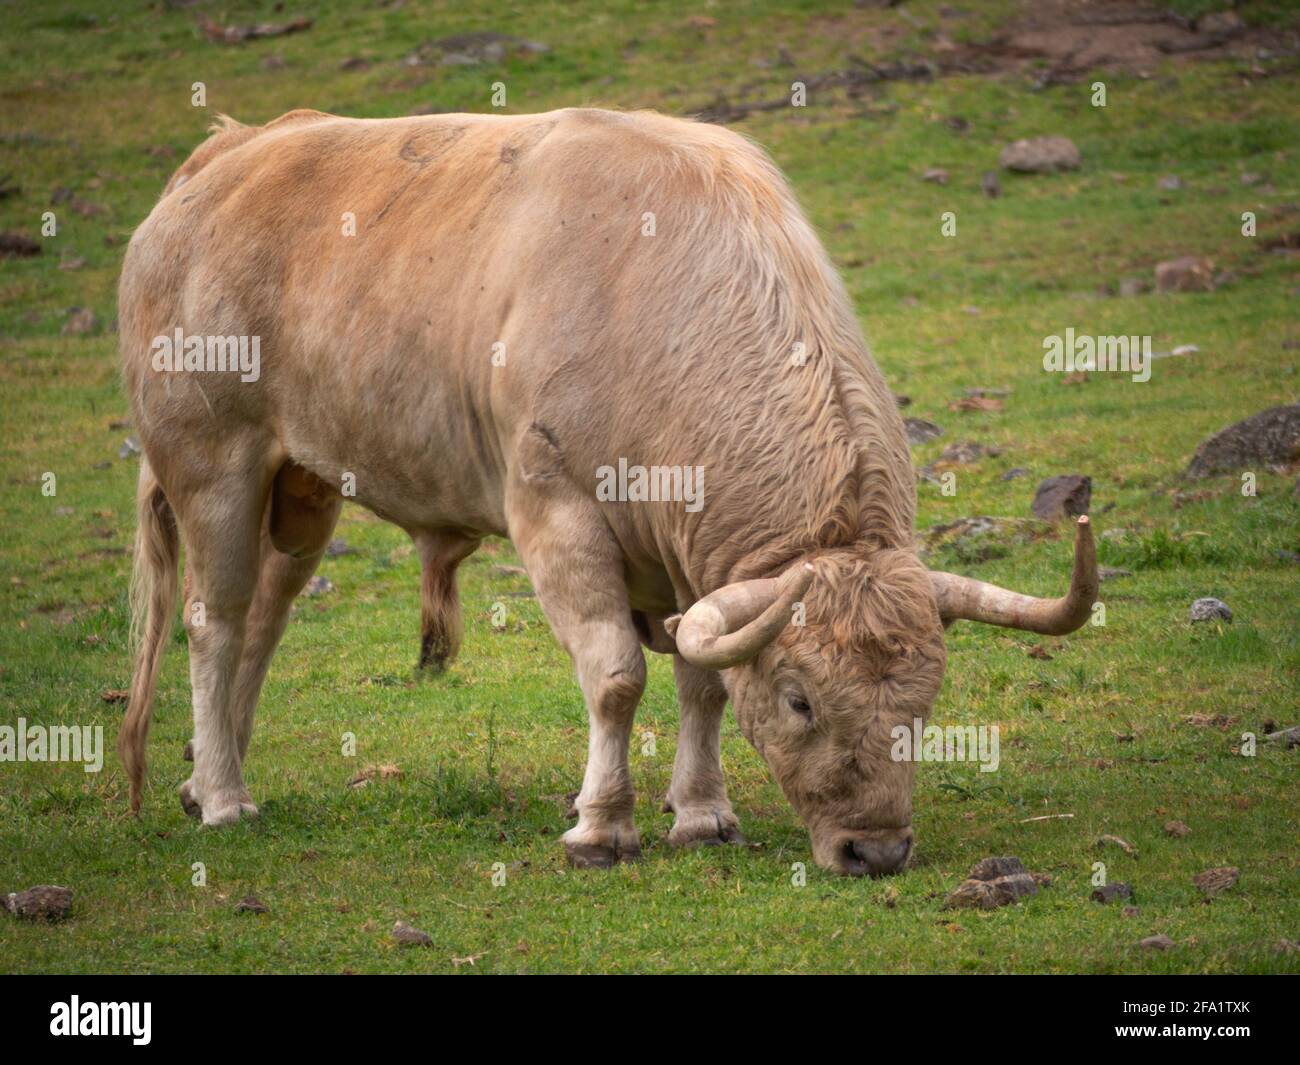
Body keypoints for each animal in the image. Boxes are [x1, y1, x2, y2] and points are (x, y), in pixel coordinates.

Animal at [119, 108, 1097, 876]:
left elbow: (703, 683)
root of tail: (222, 156)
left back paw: (204, 774)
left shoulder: (693, 568)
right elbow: (617, 676)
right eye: (801, 700)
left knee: (265, 621)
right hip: (212, 468)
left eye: (924, 702)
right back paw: (223, 798)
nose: (878, 850)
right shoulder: (557, 516)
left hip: (302, 490)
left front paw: (701, 814)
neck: (660, 308)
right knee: (214, 623)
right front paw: (601, 825)